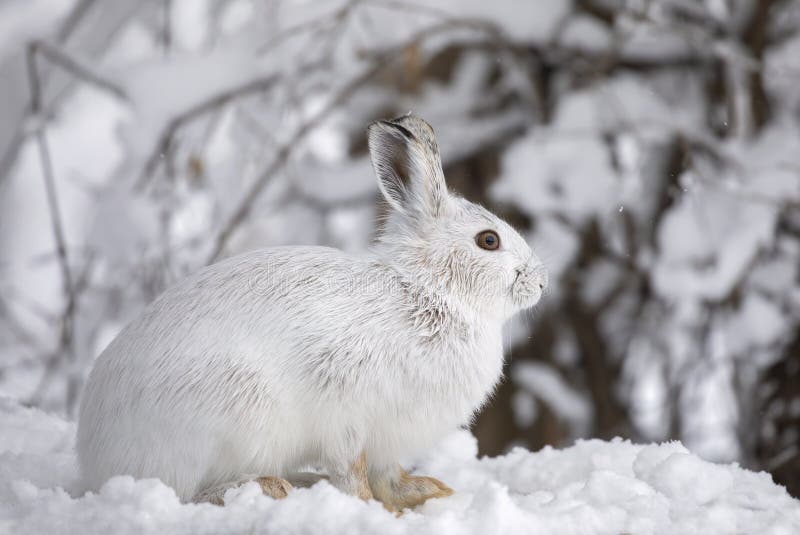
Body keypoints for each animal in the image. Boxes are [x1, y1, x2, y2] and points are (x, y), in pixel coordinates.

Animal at [76, 114, 548, 511]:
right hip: (235, 420)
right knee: (189, 493)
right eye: (489, 240)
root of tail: (97, 462)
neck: (429, 291)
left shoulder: (388, 438)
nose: (541, 283)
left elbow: (389, 476)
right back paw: (273, 487)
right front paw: (366, 509)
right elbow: (352, 471)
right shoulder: (348, 415)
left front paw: (426, 492)